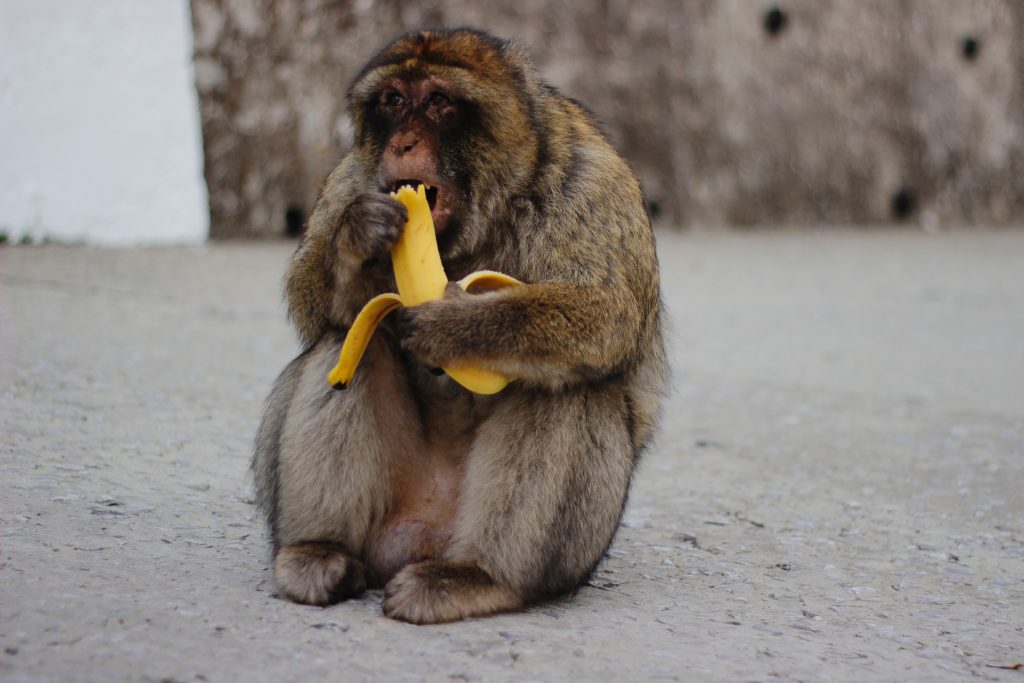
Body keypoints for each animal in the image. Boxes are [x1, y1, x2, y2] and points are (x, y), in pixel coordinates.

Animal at [252, 28, 666, 624]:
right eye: (393, 101)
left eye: (438, 102)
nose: (401, 144)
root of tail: (424, 536)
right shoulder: (351, 179)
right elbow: (311, 304)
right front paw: (357, 240)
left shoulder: (593, 183)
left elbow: (604, 313)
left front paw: (456, 324)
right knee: (352, 341)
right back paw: (318, 551)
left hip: (577, 547)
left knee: (566, 386)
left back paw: (478, 576)